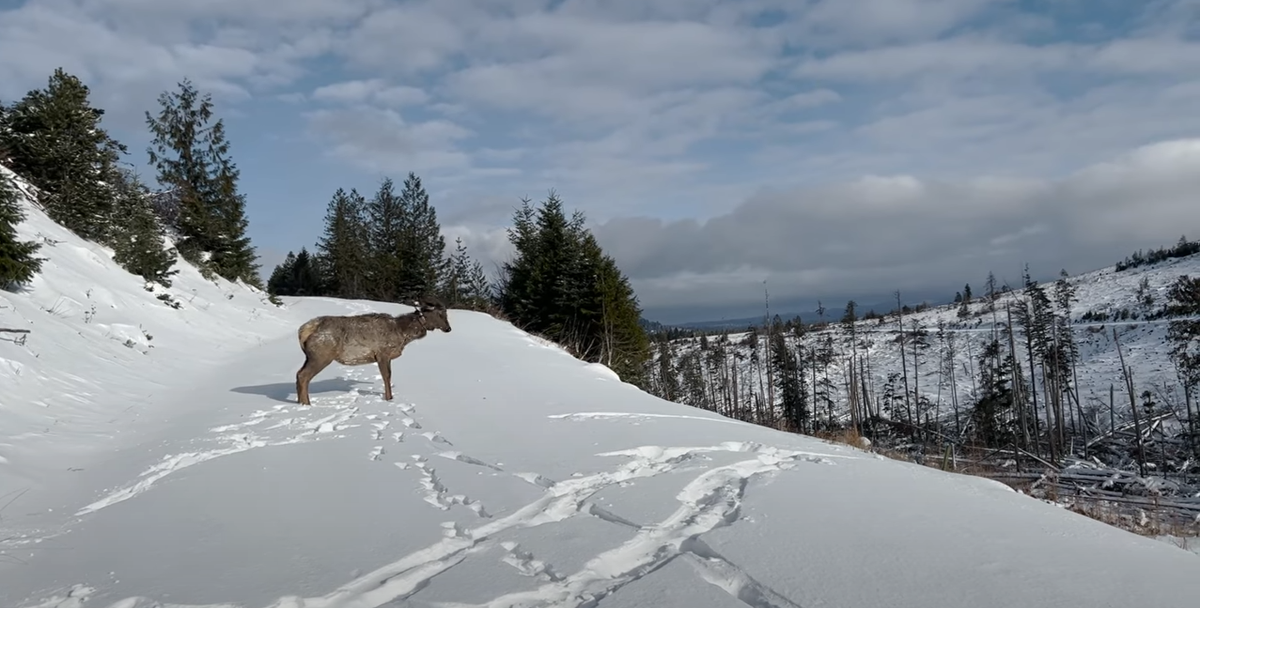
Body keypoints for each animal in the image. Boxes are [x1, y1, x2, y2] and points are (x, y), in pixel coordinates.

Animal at [295, 296, 452, 406]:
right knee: (303, 376)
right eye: (440, 314)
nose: (448, 328)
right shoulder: (382, 353)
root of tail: (304, 330)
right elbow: (387, 376)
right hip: (321, 355)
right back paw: (306, 403)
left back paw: (300, 402)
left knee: (298, 374)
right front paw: (389, 398)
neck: (403, 334)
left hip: (309, 356)